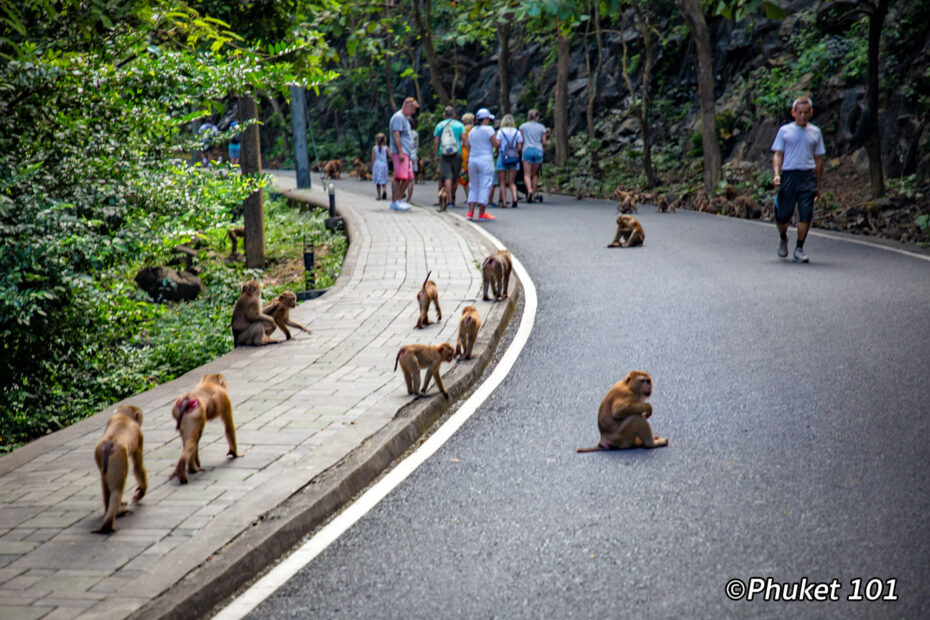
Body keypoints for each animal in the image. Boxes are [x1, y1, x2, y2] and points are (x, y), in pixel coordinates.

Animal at [93, 405, 147, 534]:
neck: (123, 416)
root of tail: (110, 442)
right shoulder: (139, 435)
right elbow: (138, 466)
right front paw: (141, 491)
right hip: (119, 457)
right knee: (118, 487)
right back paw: (115, 515)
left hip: (100, 454)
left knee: (105, 483)